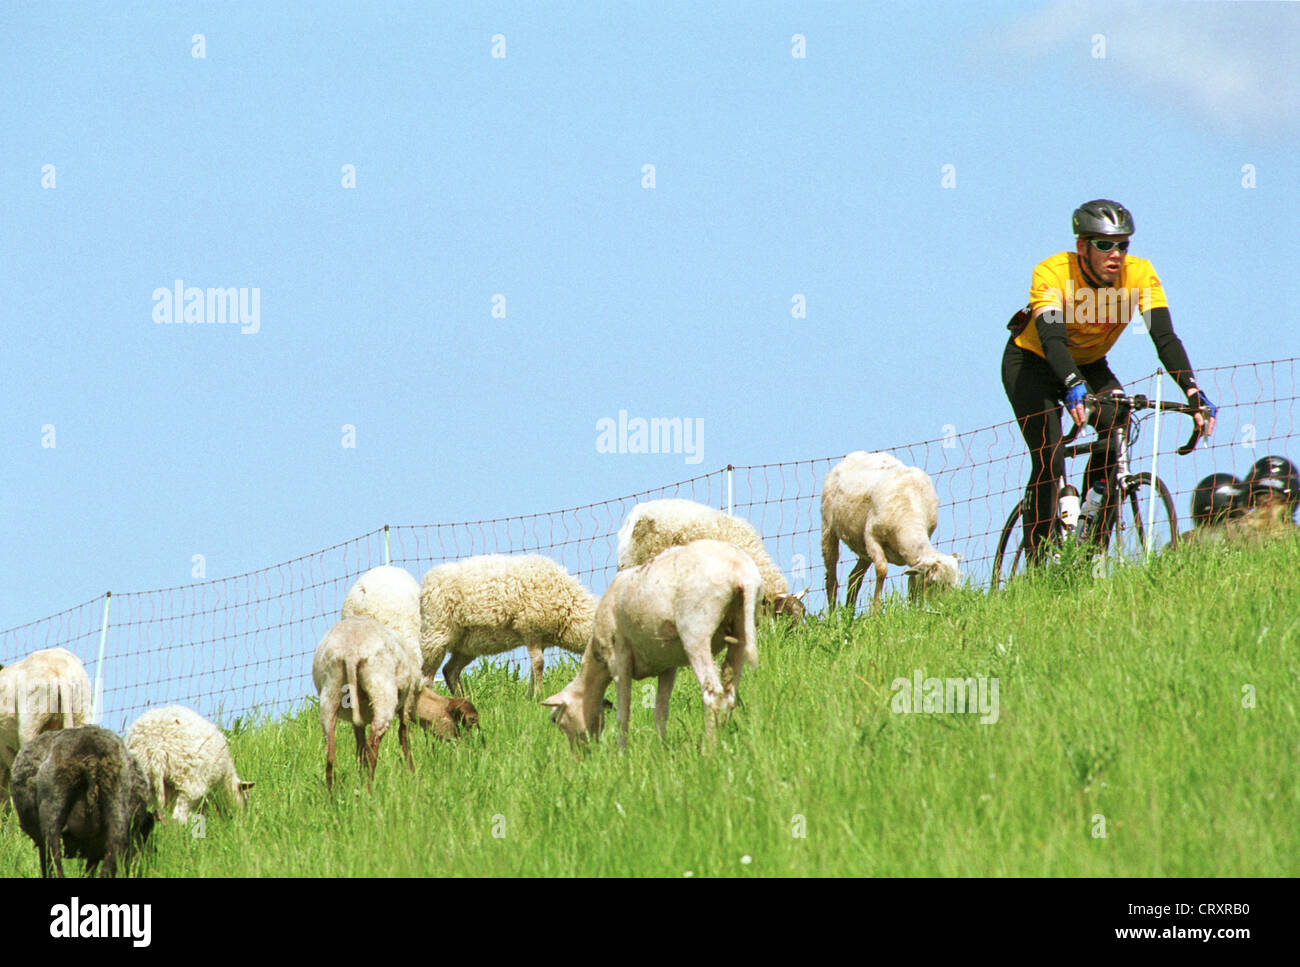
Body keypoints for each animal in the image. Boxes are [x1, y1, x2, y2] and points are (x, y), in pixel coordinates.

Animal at [312, 615, 420, 788]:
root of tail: (350, 651)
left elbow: (359, 747)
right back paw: (369, 790)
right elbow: (403, 736)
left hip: (330, 689)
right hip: (382, 691)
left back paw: (334, 794)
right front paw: (412, 774)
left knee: (330, 758)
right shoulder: (407, 702)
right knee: (372, 748)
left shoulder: (359, 721)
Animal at [419, 554, 596, 699]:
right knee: (426, 677)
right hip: (437, 632)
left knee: (450, 670)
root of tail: (427, 582)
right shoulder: (529, 627)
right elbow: (539, 664)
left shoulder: (541, 639)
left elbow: (534, 669)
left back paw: (463, 699)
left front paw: (531, 696)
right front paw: (539, 696)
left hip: (467, 645)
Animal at [542, 539, 762, 751]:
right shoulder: (668, 666)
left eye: (555, 719)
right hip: (740, 627)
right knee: (729, 695)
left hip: (696, 627)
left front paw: (622, 754)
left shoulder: (618, 660)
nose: (579, 757)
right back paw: (723, 743)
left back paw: (709, 749)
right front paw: (660, 749)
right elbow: (661, 712)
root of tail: (740, 570)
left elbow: (623, 715)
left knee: (713, 693)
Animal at [821, 451, 962, 612]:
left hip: (862, 548)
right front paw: (875, 611)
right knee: (831, 577)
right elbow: (882, 570)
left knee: (854, 577)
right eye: (936, 582)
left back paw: (849, 614)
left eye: (960, 580)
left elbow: (913, 579)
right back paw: (833, 614)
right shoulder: (871, 537)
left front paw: (914, 610)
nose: (953, 608)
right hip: (828, 527)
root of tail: (856, 454)